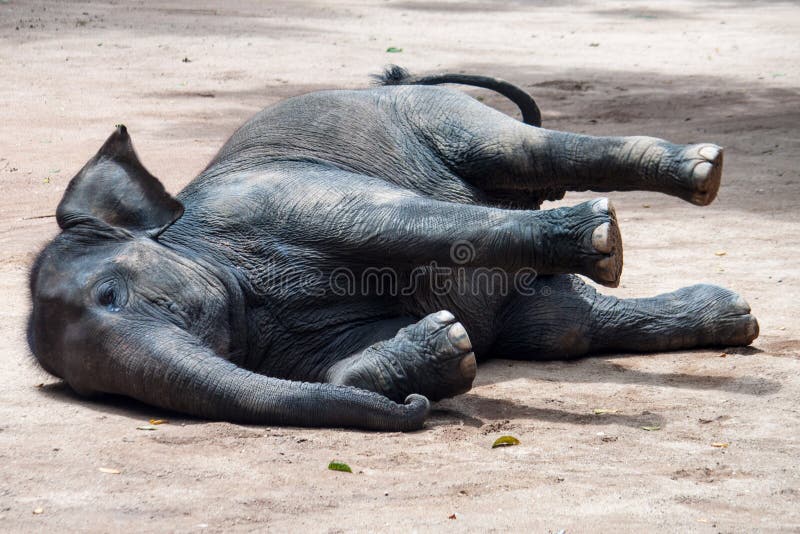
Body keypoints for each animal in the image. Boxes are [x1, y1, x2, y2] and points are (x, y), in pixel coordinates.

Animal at [27, 66, 759, 431]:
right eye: (99, 392)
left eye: (110, 294)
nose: (416, 412)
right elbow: (349, 363)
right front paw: (445, 346)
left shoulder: (276, 197)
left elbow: (389, 226)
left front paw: (601, 240)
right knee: (560, 327)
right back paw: (733, 315)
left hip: (436, 113)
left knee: (519, 152)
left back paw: (693, 178)